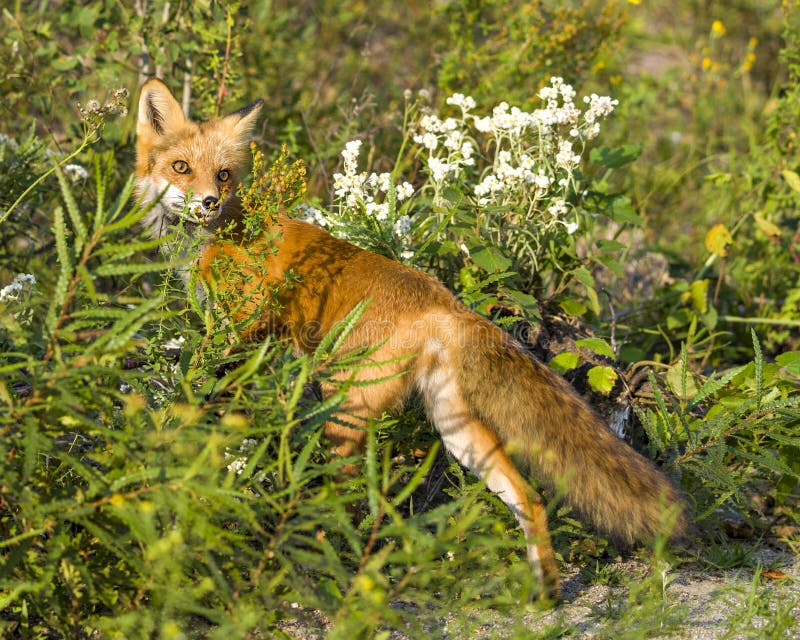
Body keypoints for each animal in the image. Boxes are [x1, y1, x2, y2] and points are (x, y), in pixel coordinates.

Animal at [134, 78, 687, 601]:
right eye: (182, 168)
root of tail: (445, 303)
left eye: (223, 174)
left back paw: (312, 561)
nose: (209, 202)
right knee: (528, 498)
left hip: (346, 410)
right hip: (456, 431)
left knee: (348, 497)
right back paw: (545, 598)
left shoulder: (241, 331)